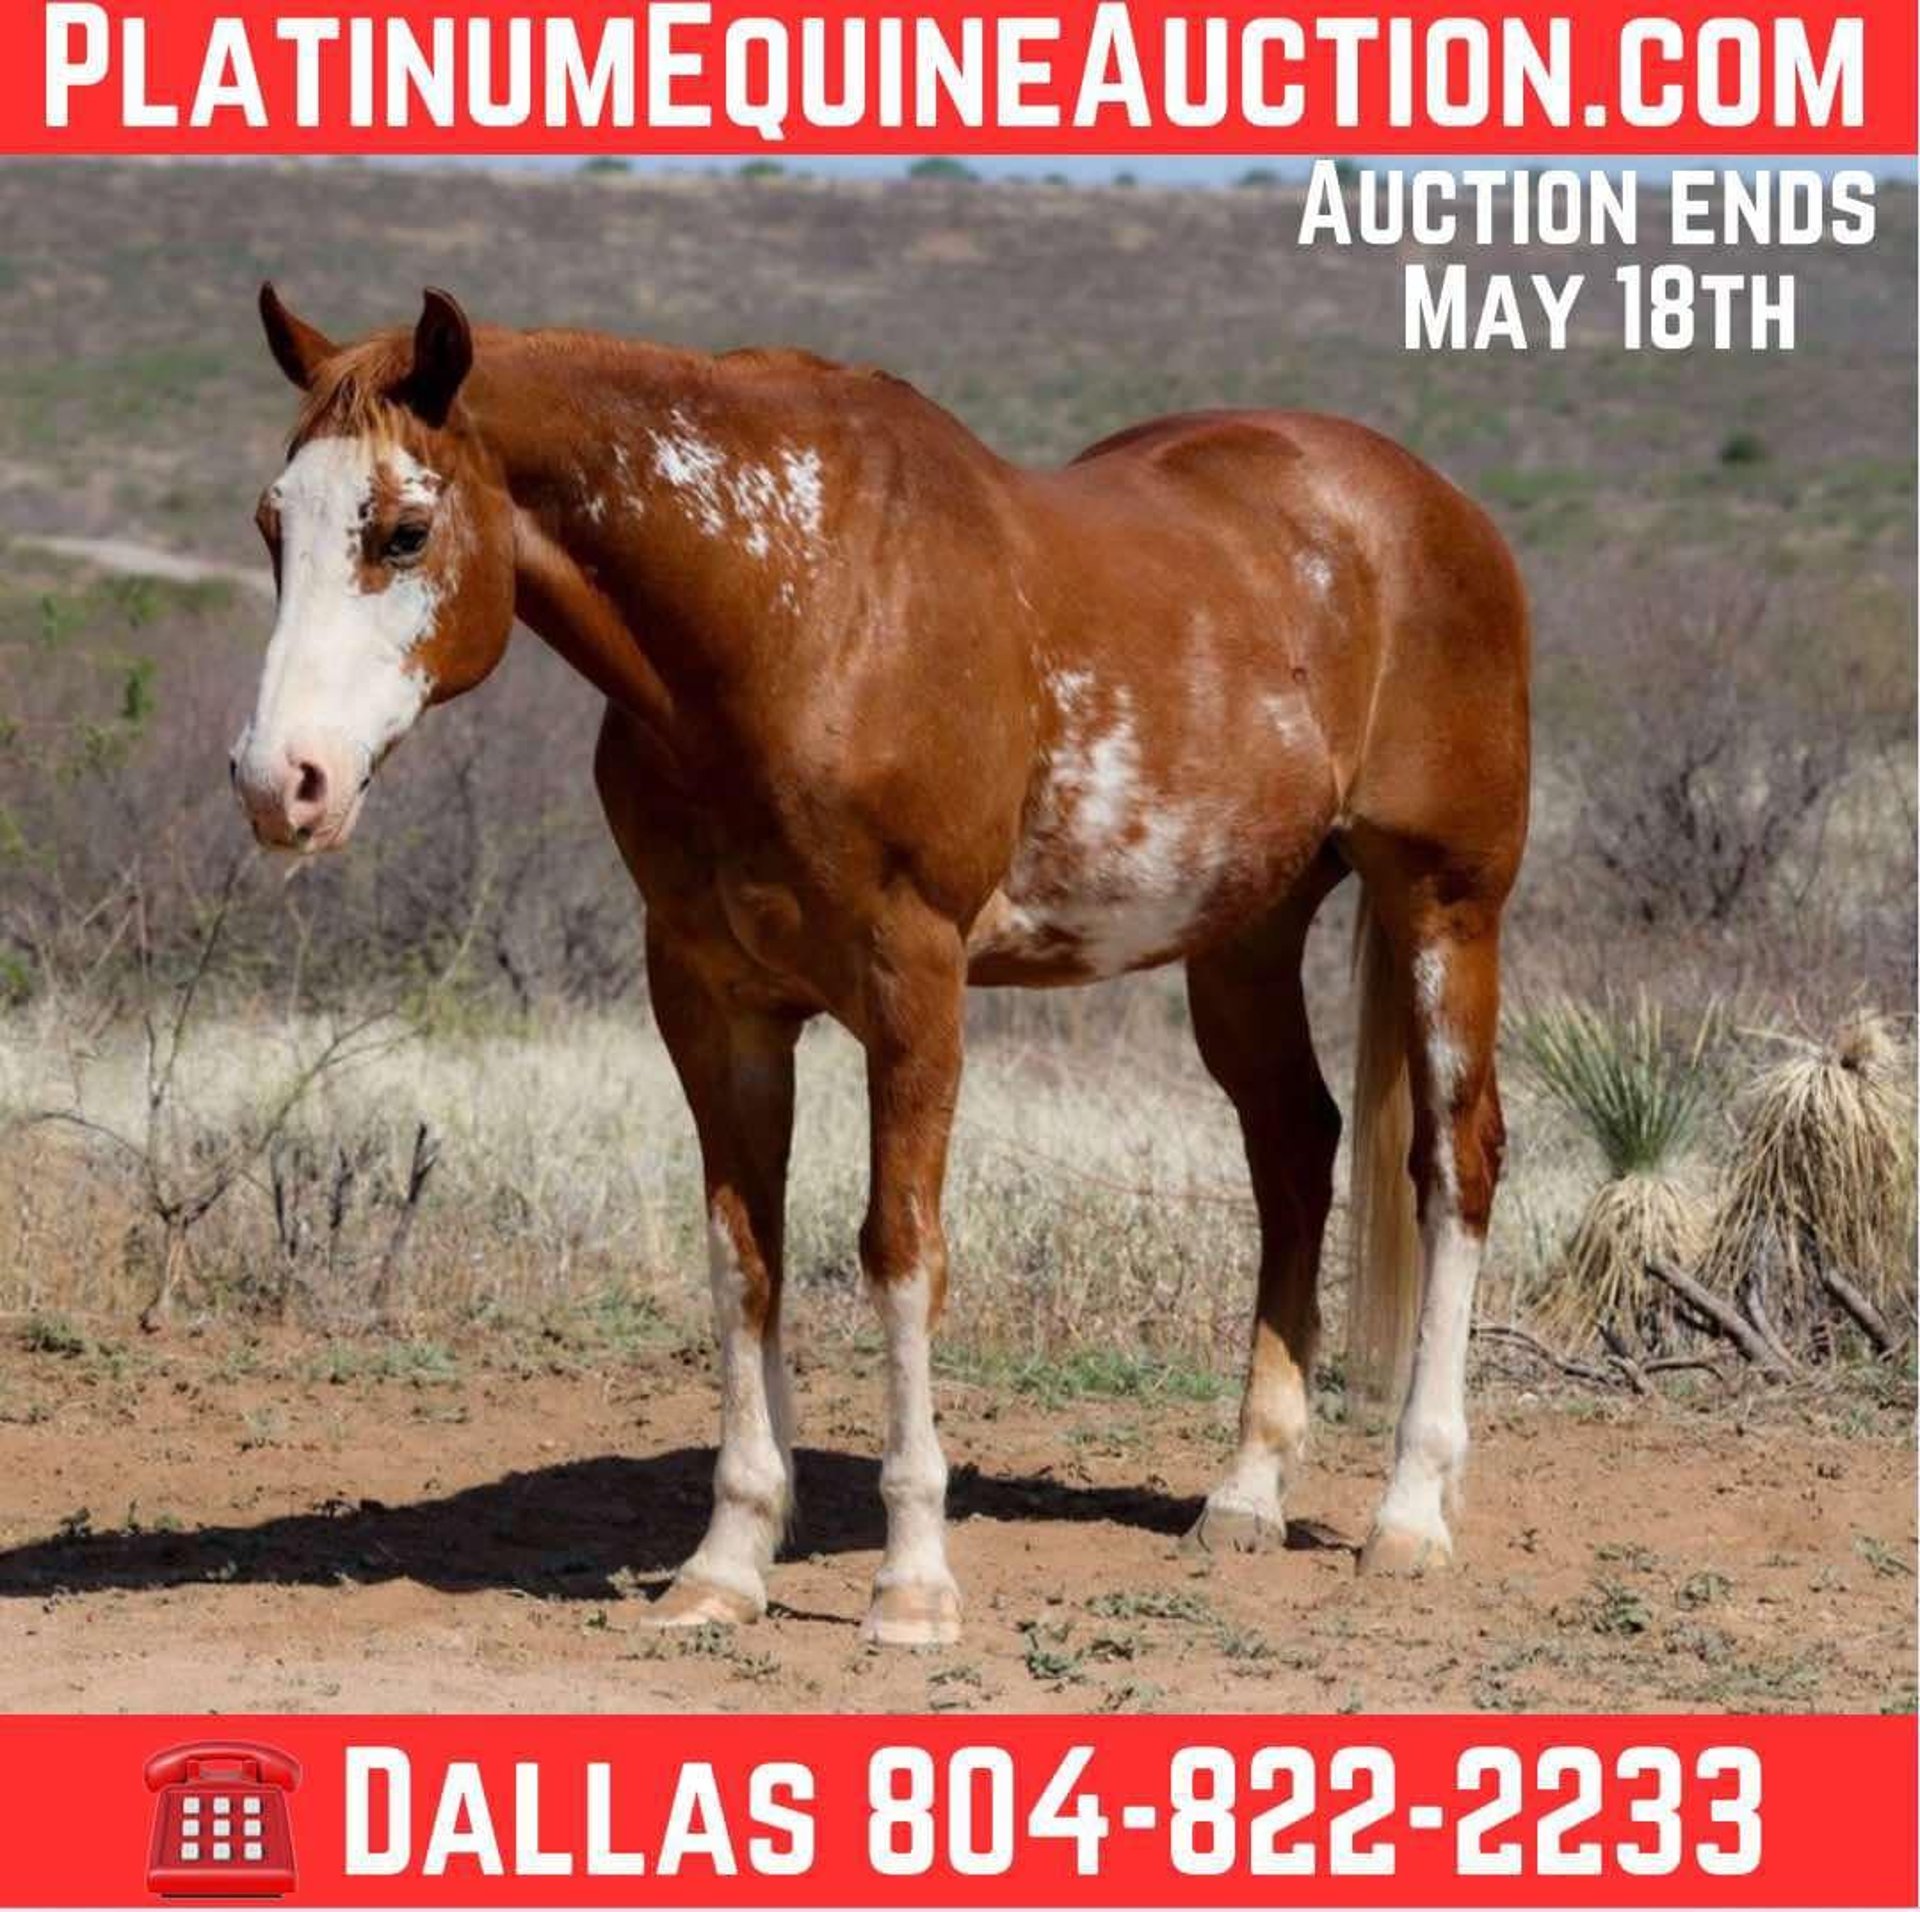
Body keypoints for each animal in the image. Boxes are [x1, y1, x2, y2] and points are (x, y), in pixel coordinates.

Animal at [233, 286, 1529, 1647]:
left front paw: (912, 1581)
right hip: (1244, 936)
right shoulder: (713, 998)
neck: (791, 607)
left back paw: (1410, 1511)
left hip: (1445, 906)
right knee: (1293, 1152)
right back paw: (1244, 1495)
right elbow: (742, 1258)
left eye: (405, 530)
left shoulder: (914, 982)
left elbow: (899, 1249)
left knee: (1454, 1164)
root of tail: (1433, 508)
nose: (281, 784)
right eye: (273, 525)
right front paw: (726, 1564)